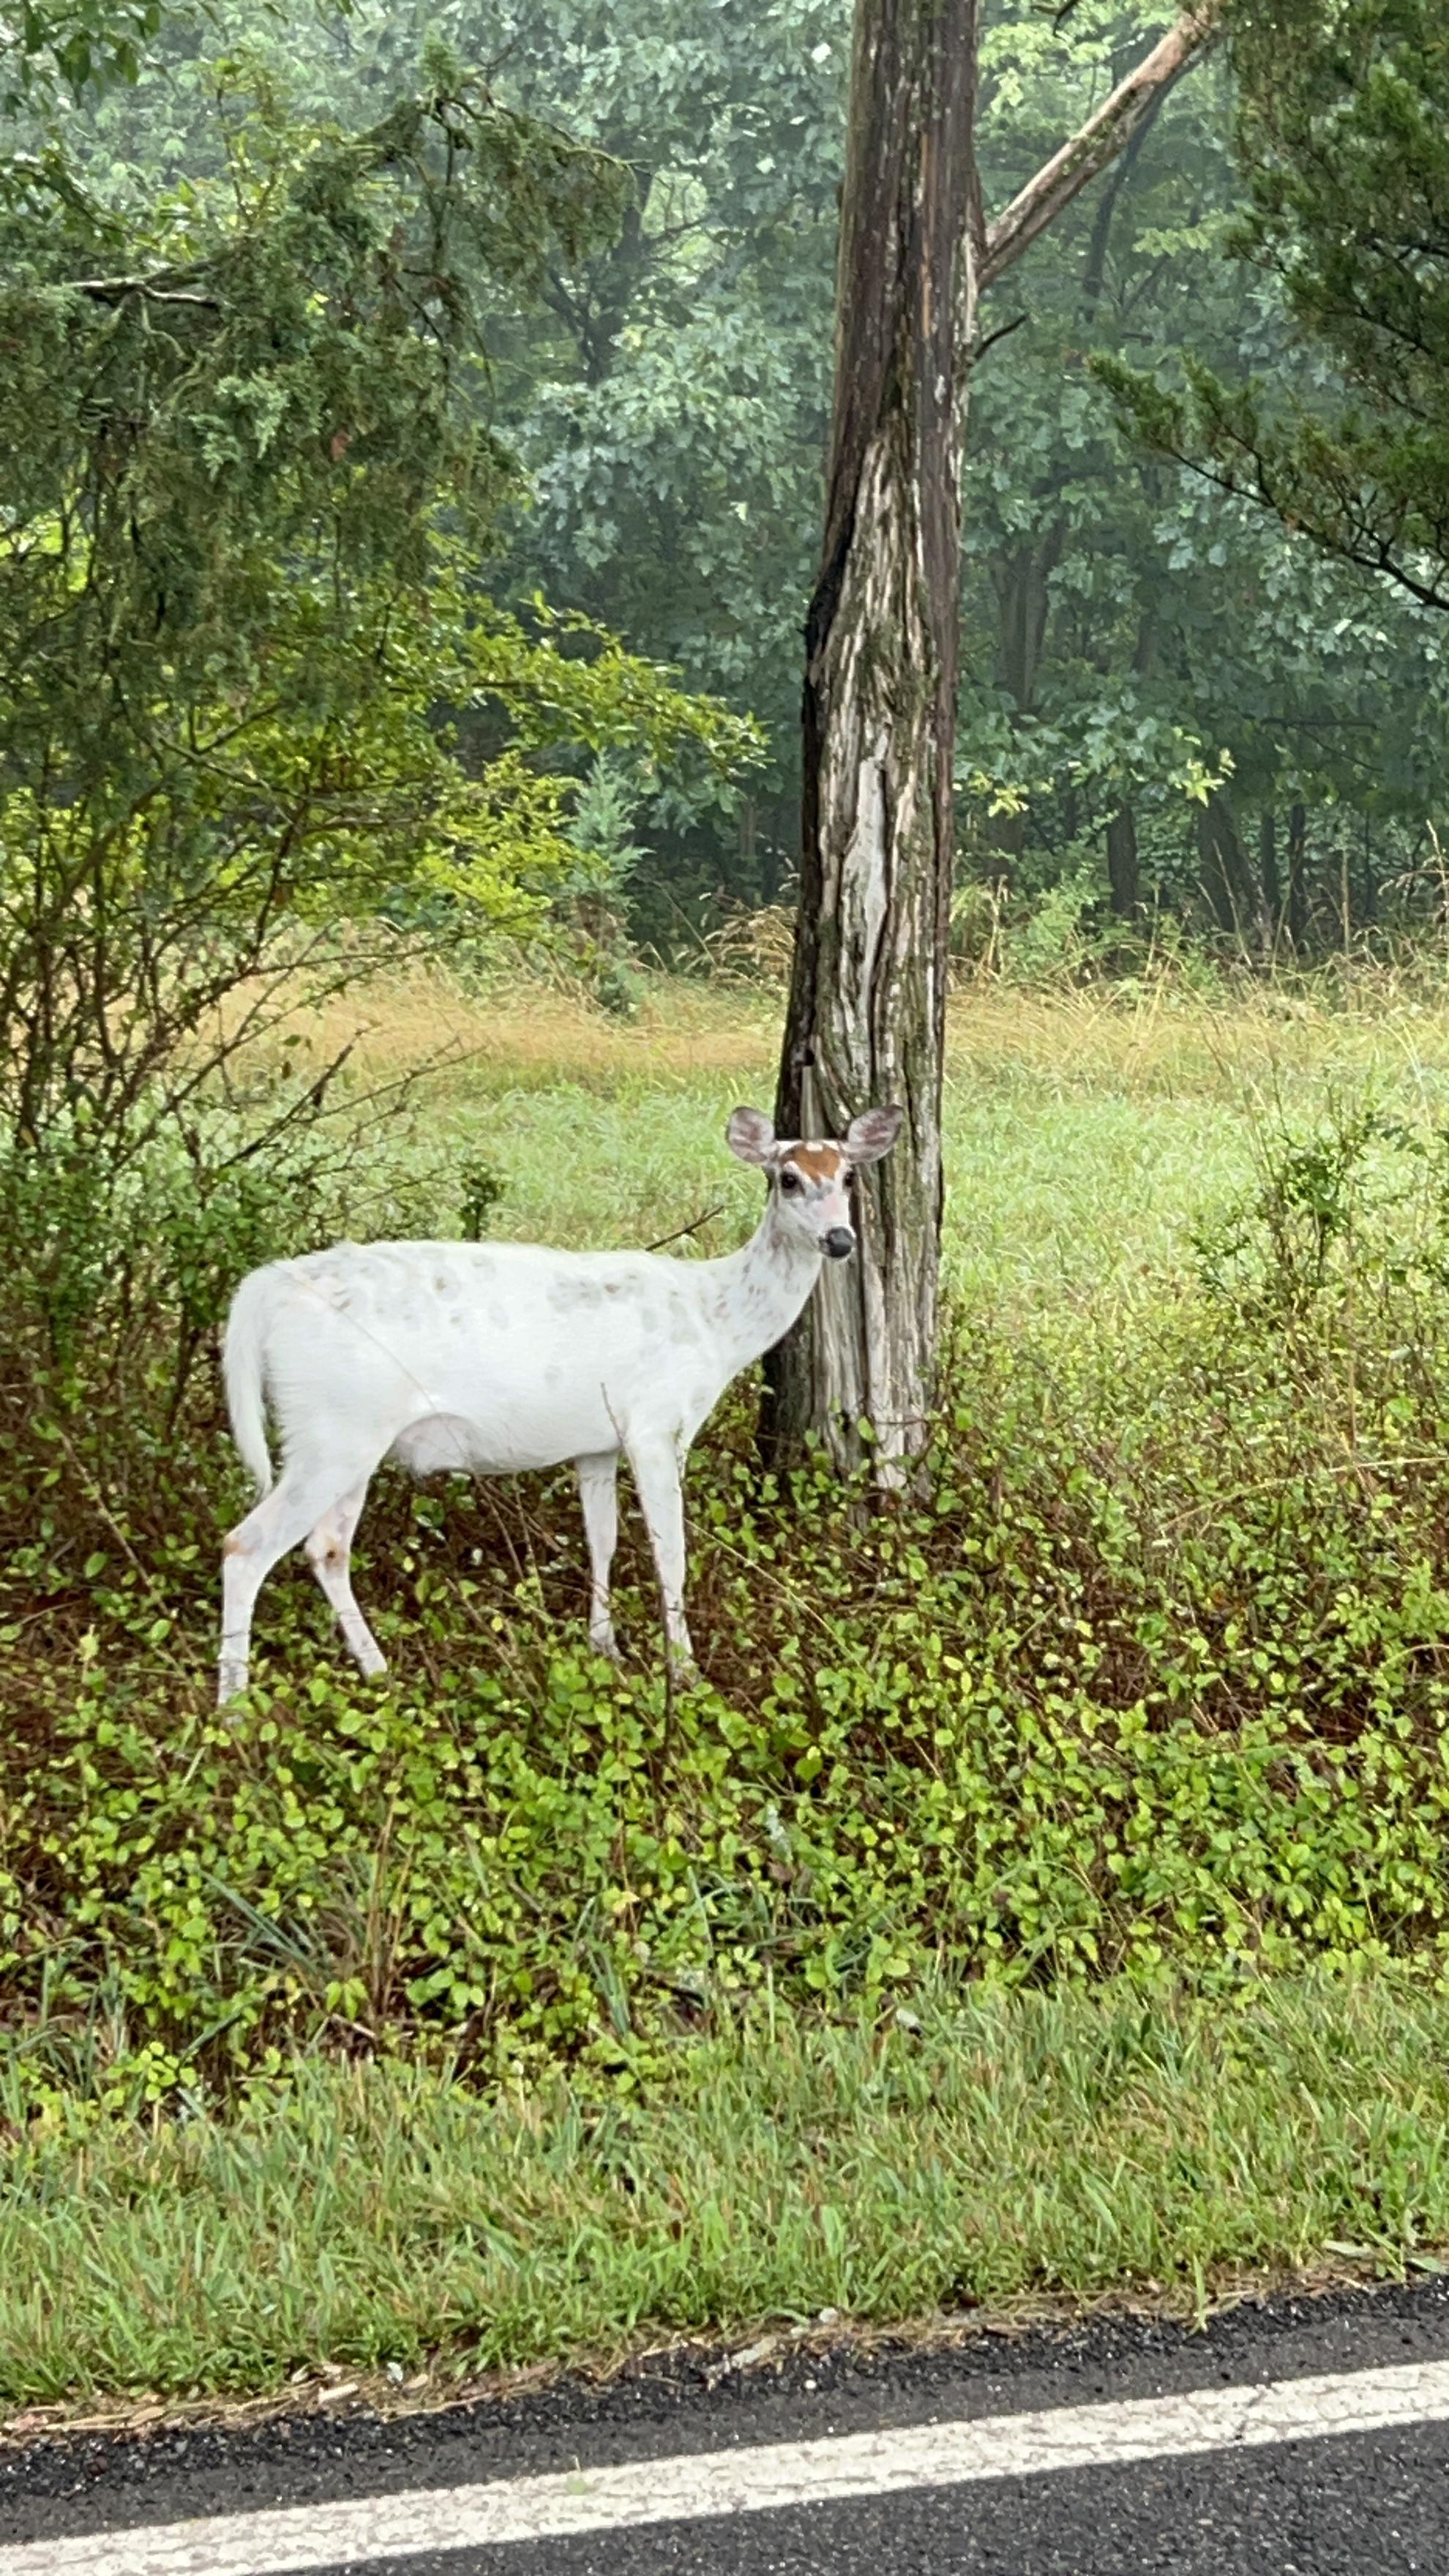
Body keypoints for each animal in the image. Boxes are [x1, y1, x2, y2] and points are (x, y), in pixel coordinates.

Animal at [217, 1102, 902, 1703]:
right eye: (788, 1178)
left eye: (848, 1175)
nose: (840, 1239)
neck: (716, 1324)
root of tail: (266, 1290)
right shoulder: (656, 1425)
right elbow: (669, 1552)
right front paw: (683, 1672)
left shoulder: (597, 1442)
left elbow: (603, 1539)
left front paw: (605, 1646)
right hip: (332, 1426)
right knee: (246, 1544)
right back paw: (234, 1704)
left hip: (348, 1434)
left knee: (326, 1548)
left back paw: (377, 1668)